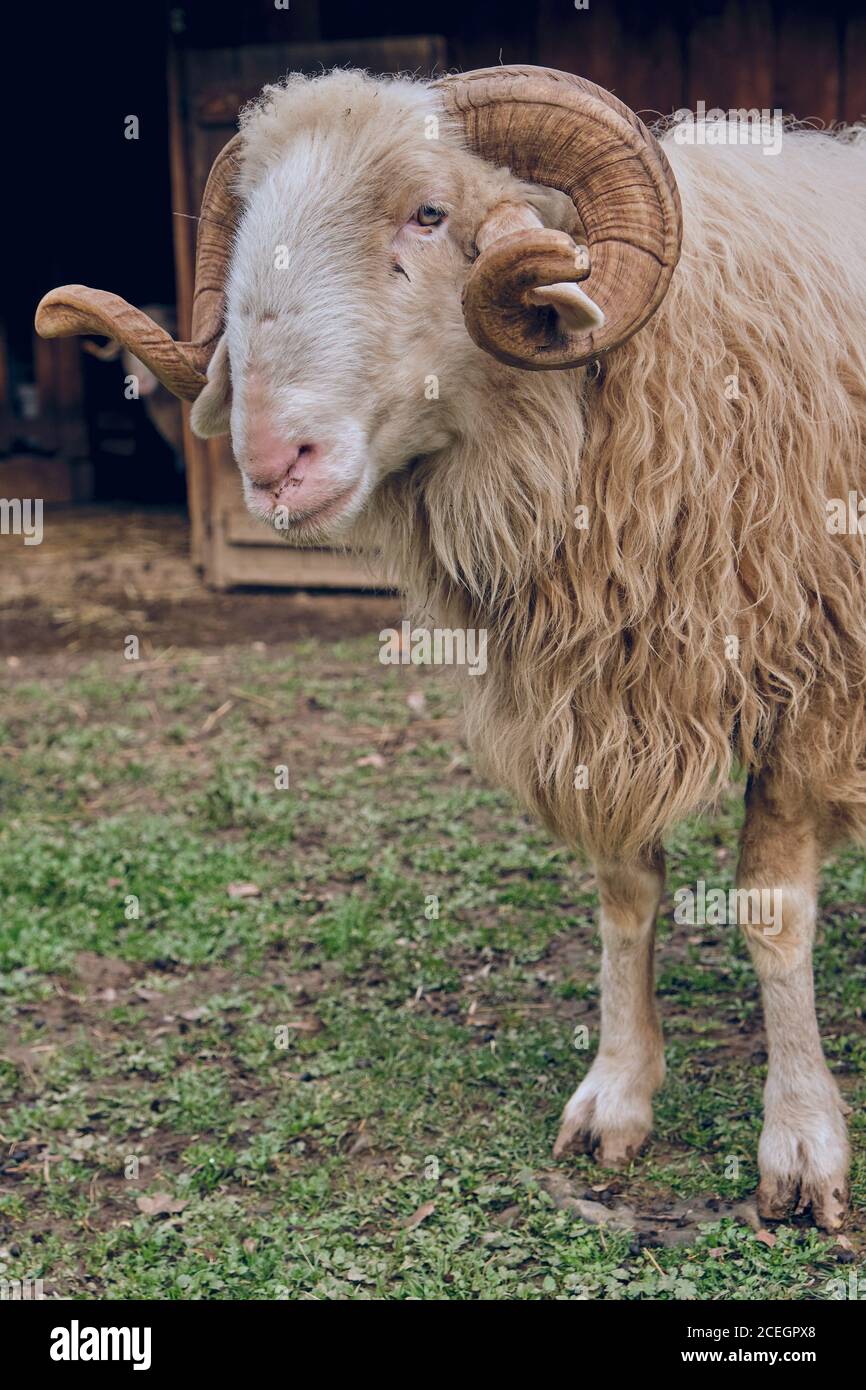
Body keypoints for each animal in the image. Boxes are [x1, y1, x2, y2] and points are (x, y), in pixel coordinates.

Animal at [35, 65, 866, 1232]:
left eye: (429, 214)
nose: (273, 461)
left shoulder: (815, 688)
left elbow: (770, 915)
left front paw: (799, 1141)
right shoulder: (594, 691)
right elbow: (625, 898)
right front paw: (615, 1097)